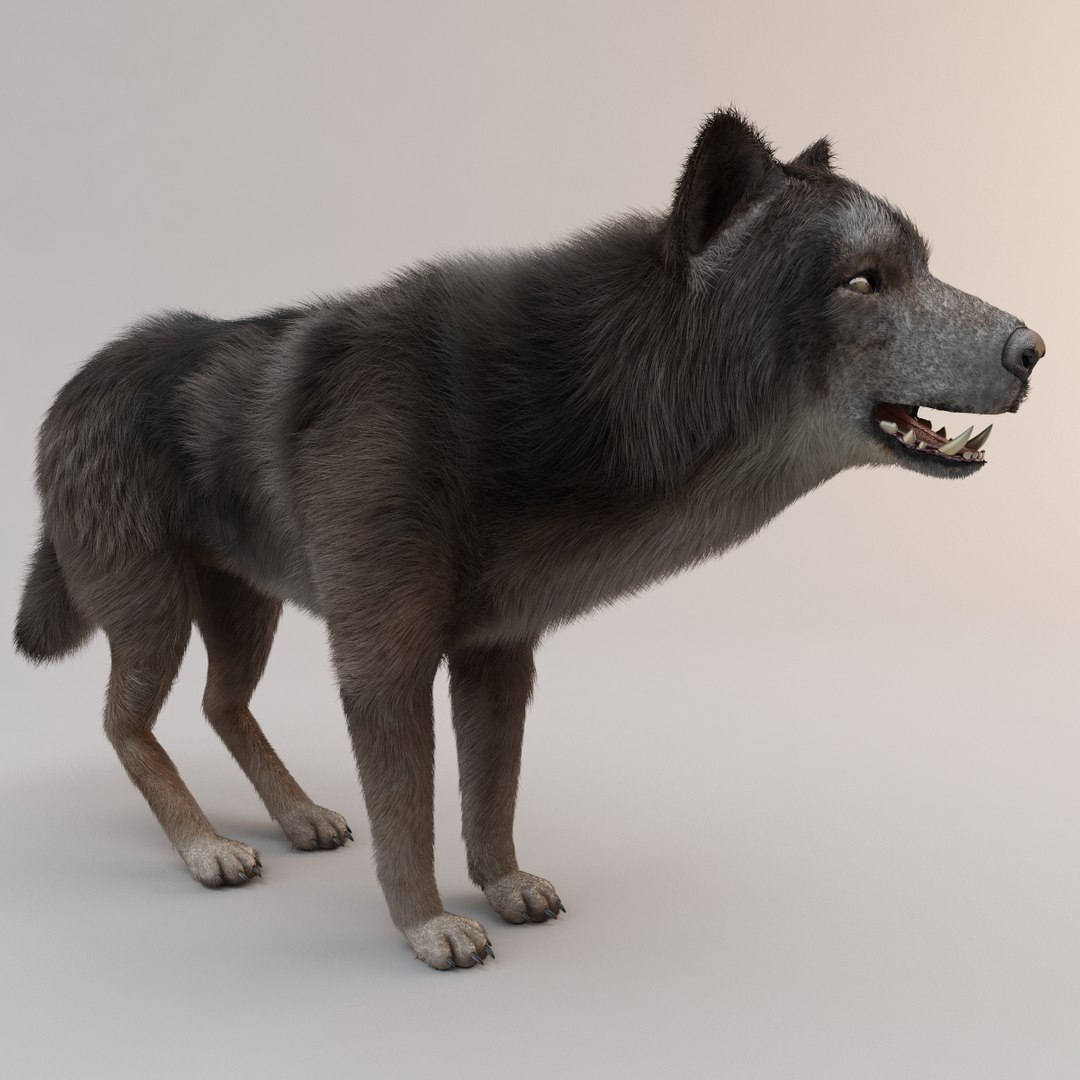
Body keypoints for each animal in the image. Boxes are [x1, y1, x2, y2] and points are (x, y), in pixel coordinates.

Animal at [15, 109, 1043, 969]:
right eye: (865, 280)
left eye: (925, 265)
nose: (1033, 350)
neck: (566, 400)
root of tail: (73, 386)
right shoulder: (383, 662)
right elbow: (409, 814)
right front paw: (427, 926)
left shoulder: (498, 654)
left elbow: (490, 795)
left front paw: (502, 884)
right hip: (156, 612)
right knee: (125, 723)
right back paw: (205, 849)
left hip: (245, 606)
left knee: (220, 706)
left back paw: (298, 816)